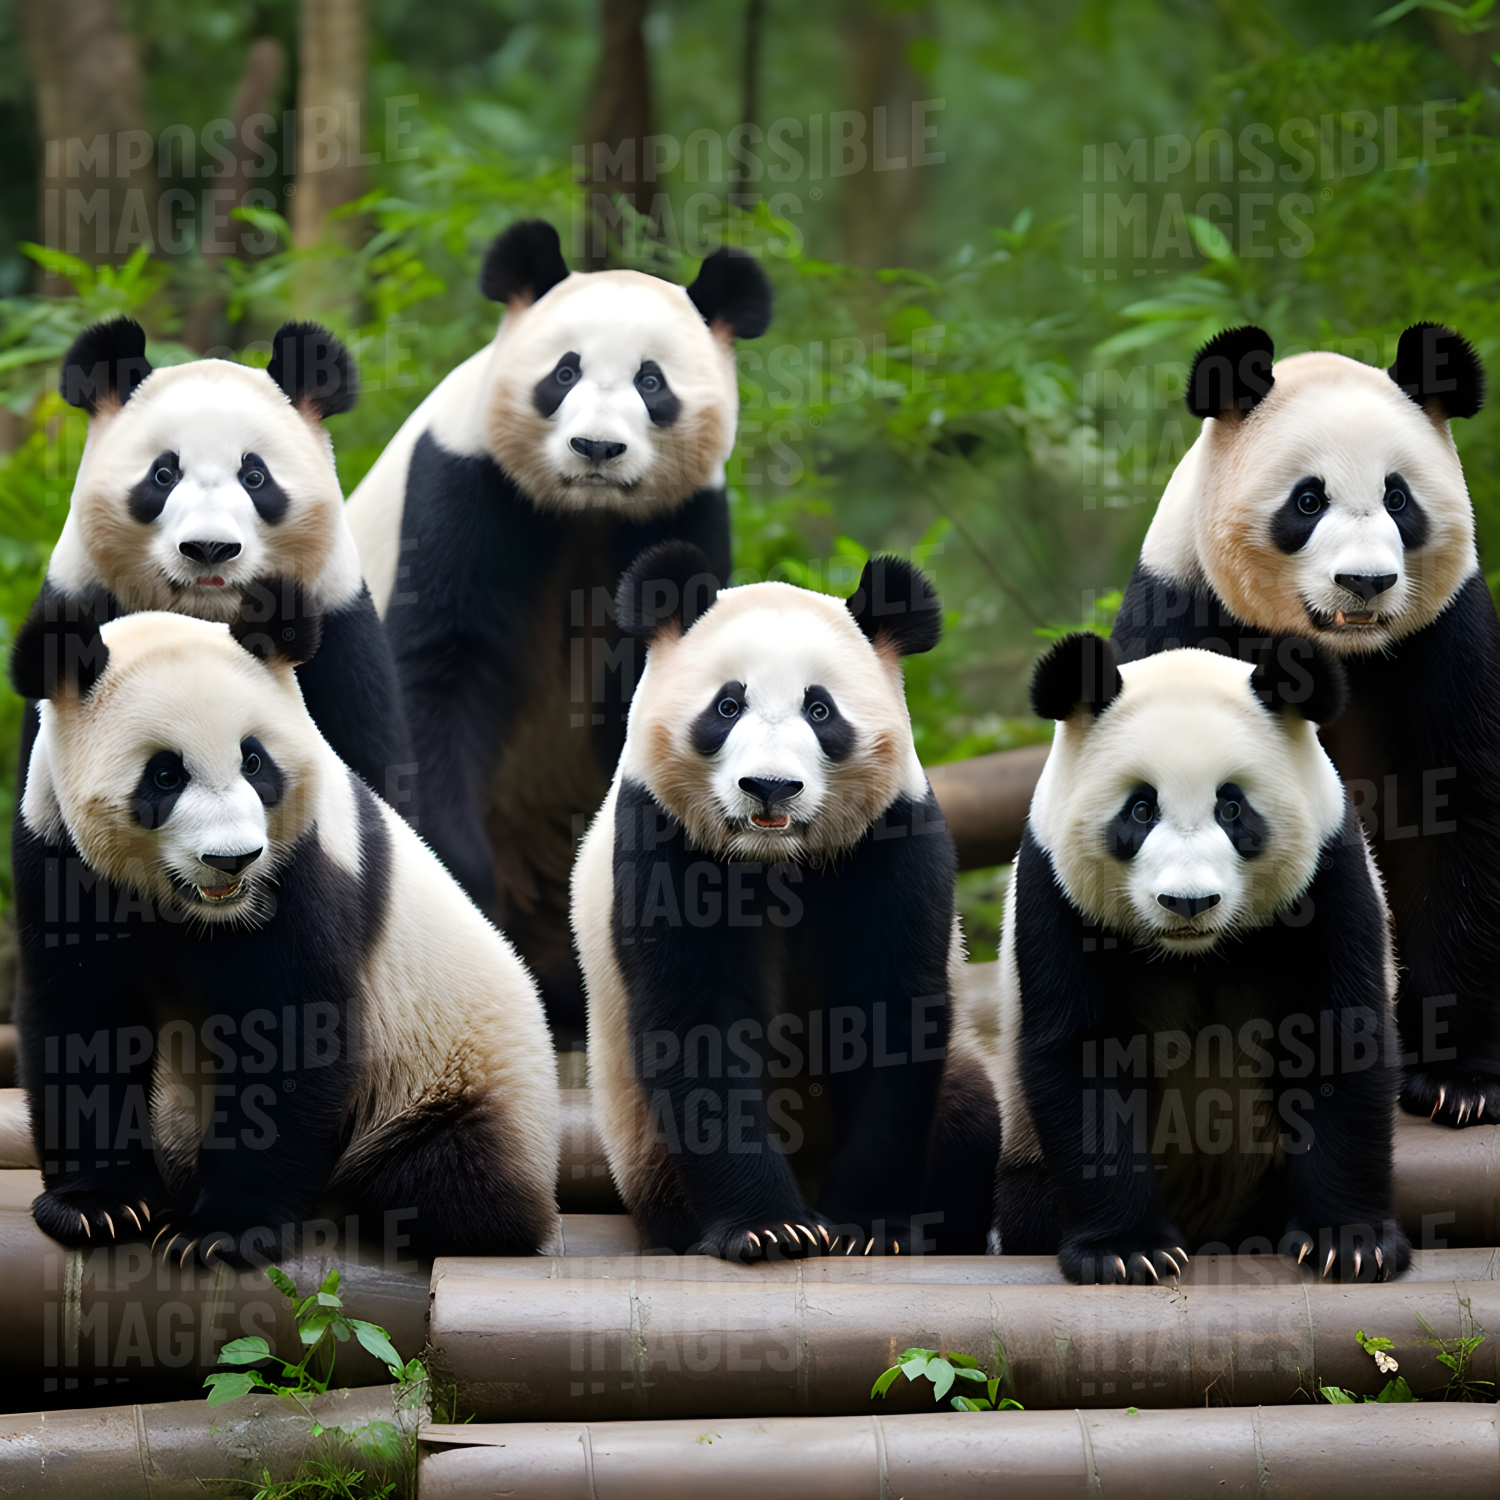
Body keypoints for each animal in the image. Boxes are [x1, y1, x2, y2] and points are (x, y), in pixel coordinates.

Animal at [9, 598, 559, 1265]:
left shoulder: (303, 867)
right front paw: (100, 1207)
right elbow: (82, 1017)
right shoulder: (59, 859)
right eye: (164, 777)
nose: (233, 861)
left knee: (450, 1174)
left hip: (452, 1068)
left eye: (254, 761)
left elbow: (289, 1030)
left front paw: (222, 1232)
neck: (197, 915)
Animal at [345, 220, 772, 1038]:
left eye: (651, 383)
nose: (596, 449)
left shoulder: (682, 516)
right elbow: (440, 671)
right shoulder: (465, 482)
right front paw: (465, 891)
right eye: (564, 372)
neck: (585, 511)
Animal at [570, 541, 997, 1260]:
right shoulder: (664, 840)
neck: (776, 861)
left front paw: (867, 1226)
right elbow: (699, 1021)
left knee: (970, 1113)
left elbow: (888, 1013)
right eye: (727, 707)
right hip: (640, 1140)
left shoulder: (891, 837)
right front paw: (769, 1227)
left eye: (819, 711)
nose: (769, 787)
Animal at [980, 630, 1408, 1284]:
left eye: (1231, 808)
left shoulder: (1329, 876)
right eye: (1140, 810)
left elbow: (1338, 1035)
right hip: (1027, 1151)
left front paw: (1352, 1243)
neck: (1196, 953)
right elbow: (1084, 1052)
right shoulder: (1055, 893)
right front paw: (1126, 1251)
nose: (1188, 902)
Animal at [1111, 324, 1500, 1129]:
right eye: (1308, 499)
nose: (1365, 583)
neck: (1338, 651)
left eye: (1398, 497)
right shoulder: (1185, 606)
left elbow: (1454, 811)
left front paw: (1457, 1081)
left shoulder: (1444, 636)